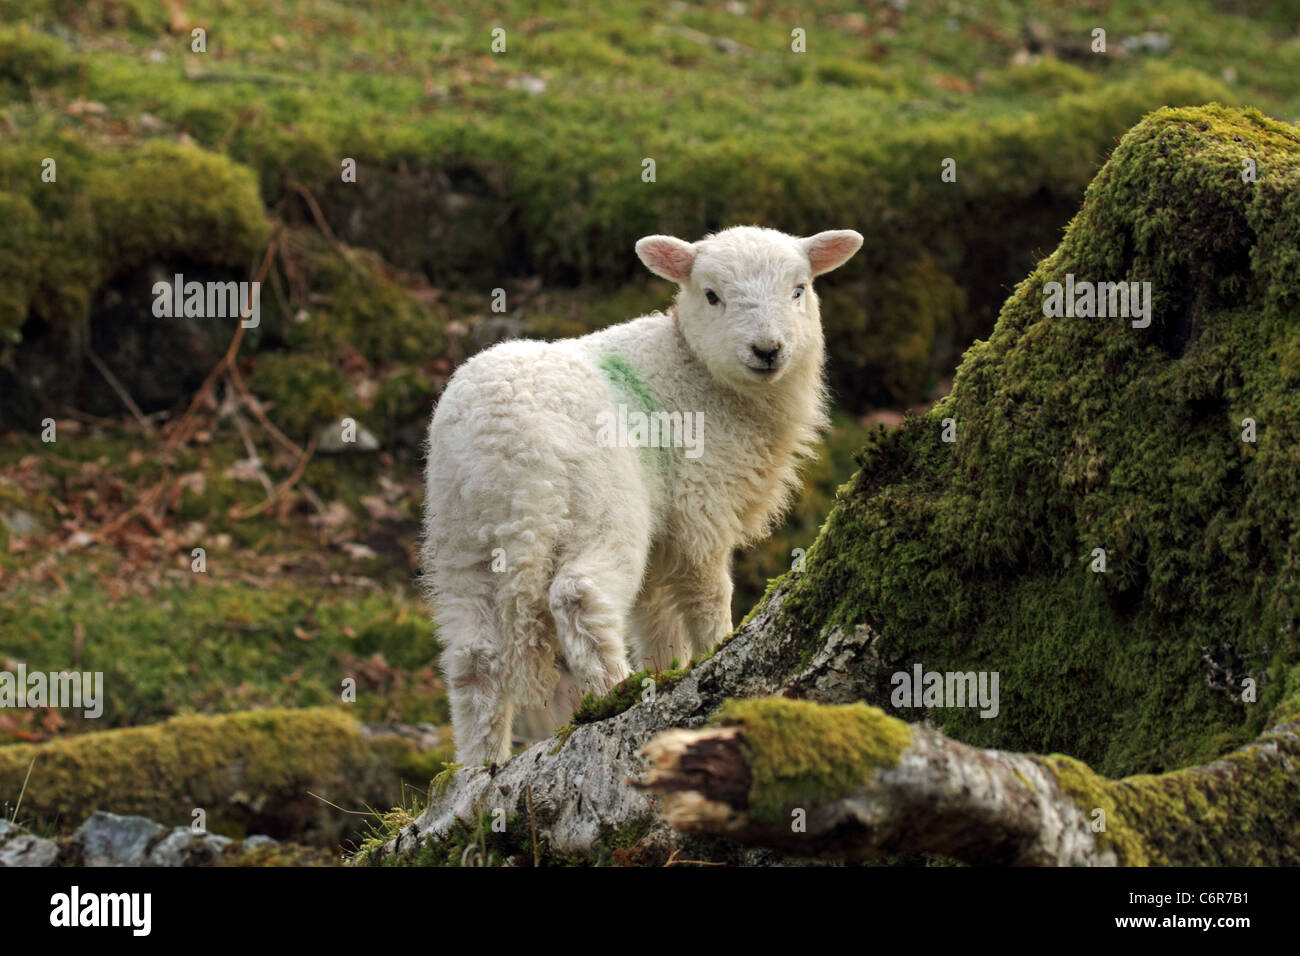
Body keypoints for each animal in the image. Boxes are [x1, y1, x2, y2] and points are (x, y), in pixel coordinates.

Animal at [422, 225, 864, 765]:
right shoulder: (701, 503)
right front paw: (715, 647)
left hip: (461, 540)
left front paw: (668, 668)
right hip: (599, 507)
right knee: (580, 597)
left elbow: (655, 618)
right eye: (711, 295)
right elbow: (707, 593)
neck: (695, 371)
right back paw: (616, 694)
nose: (767, 350)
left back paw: (481, 766)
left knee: (473, 658)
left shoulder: (666, 535)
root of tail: (502, 447)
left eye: (799, 290)